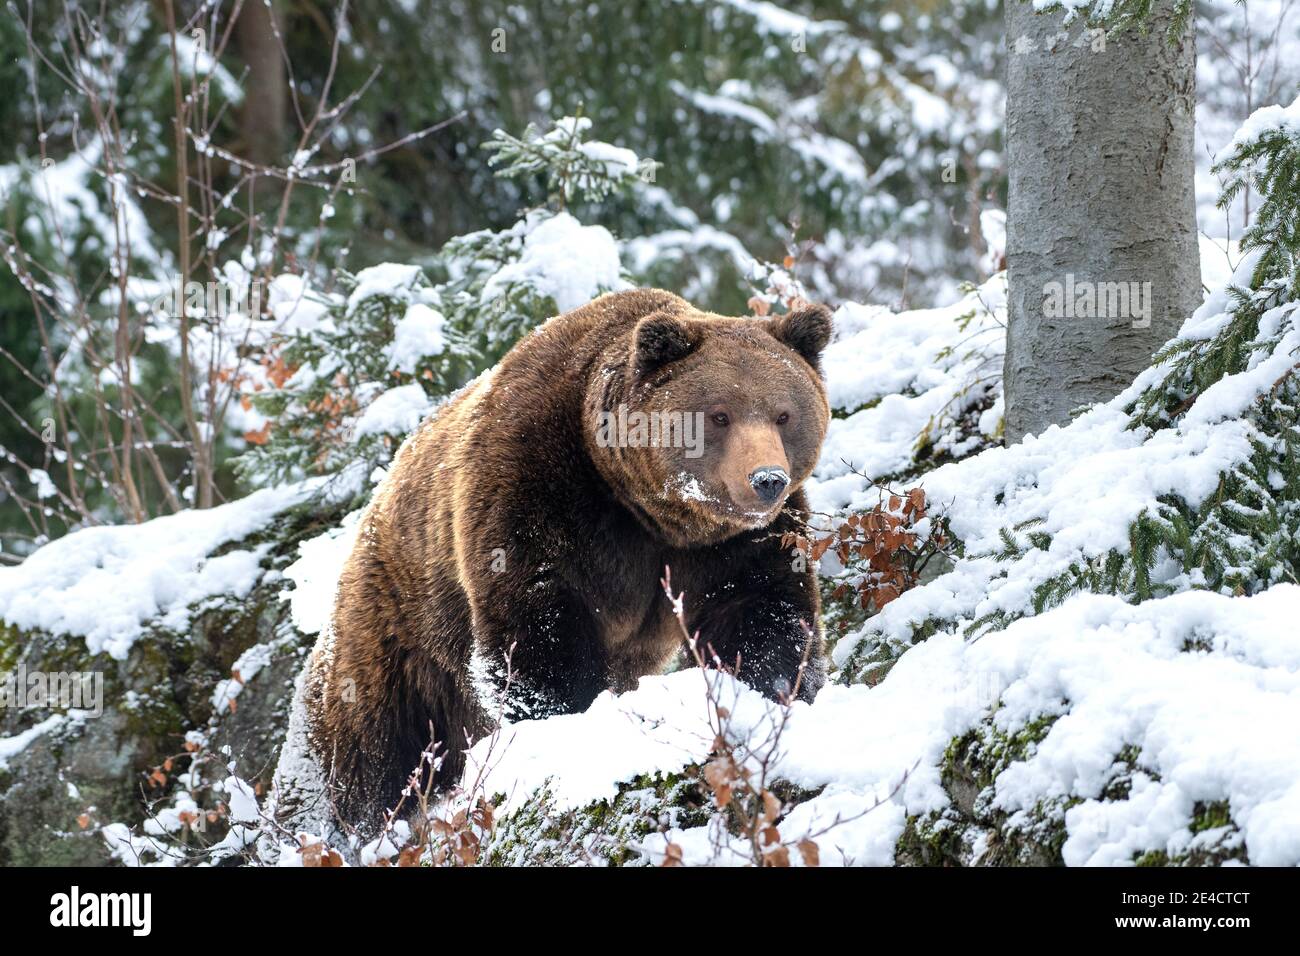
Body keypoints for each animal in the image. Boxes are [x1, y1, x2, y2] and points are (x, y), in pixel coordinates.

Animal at [303, 288, 833, 827]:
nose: (766, 479)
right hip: (400, 632)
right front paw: (566, 723)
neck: (646, 508)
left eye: (784, 414)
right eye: (720, 414)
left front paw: (768, 695)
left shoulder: (734, 545)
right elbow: (538, 626)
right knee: (375, 751)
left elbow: (759, 611)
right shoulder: (536, 490)